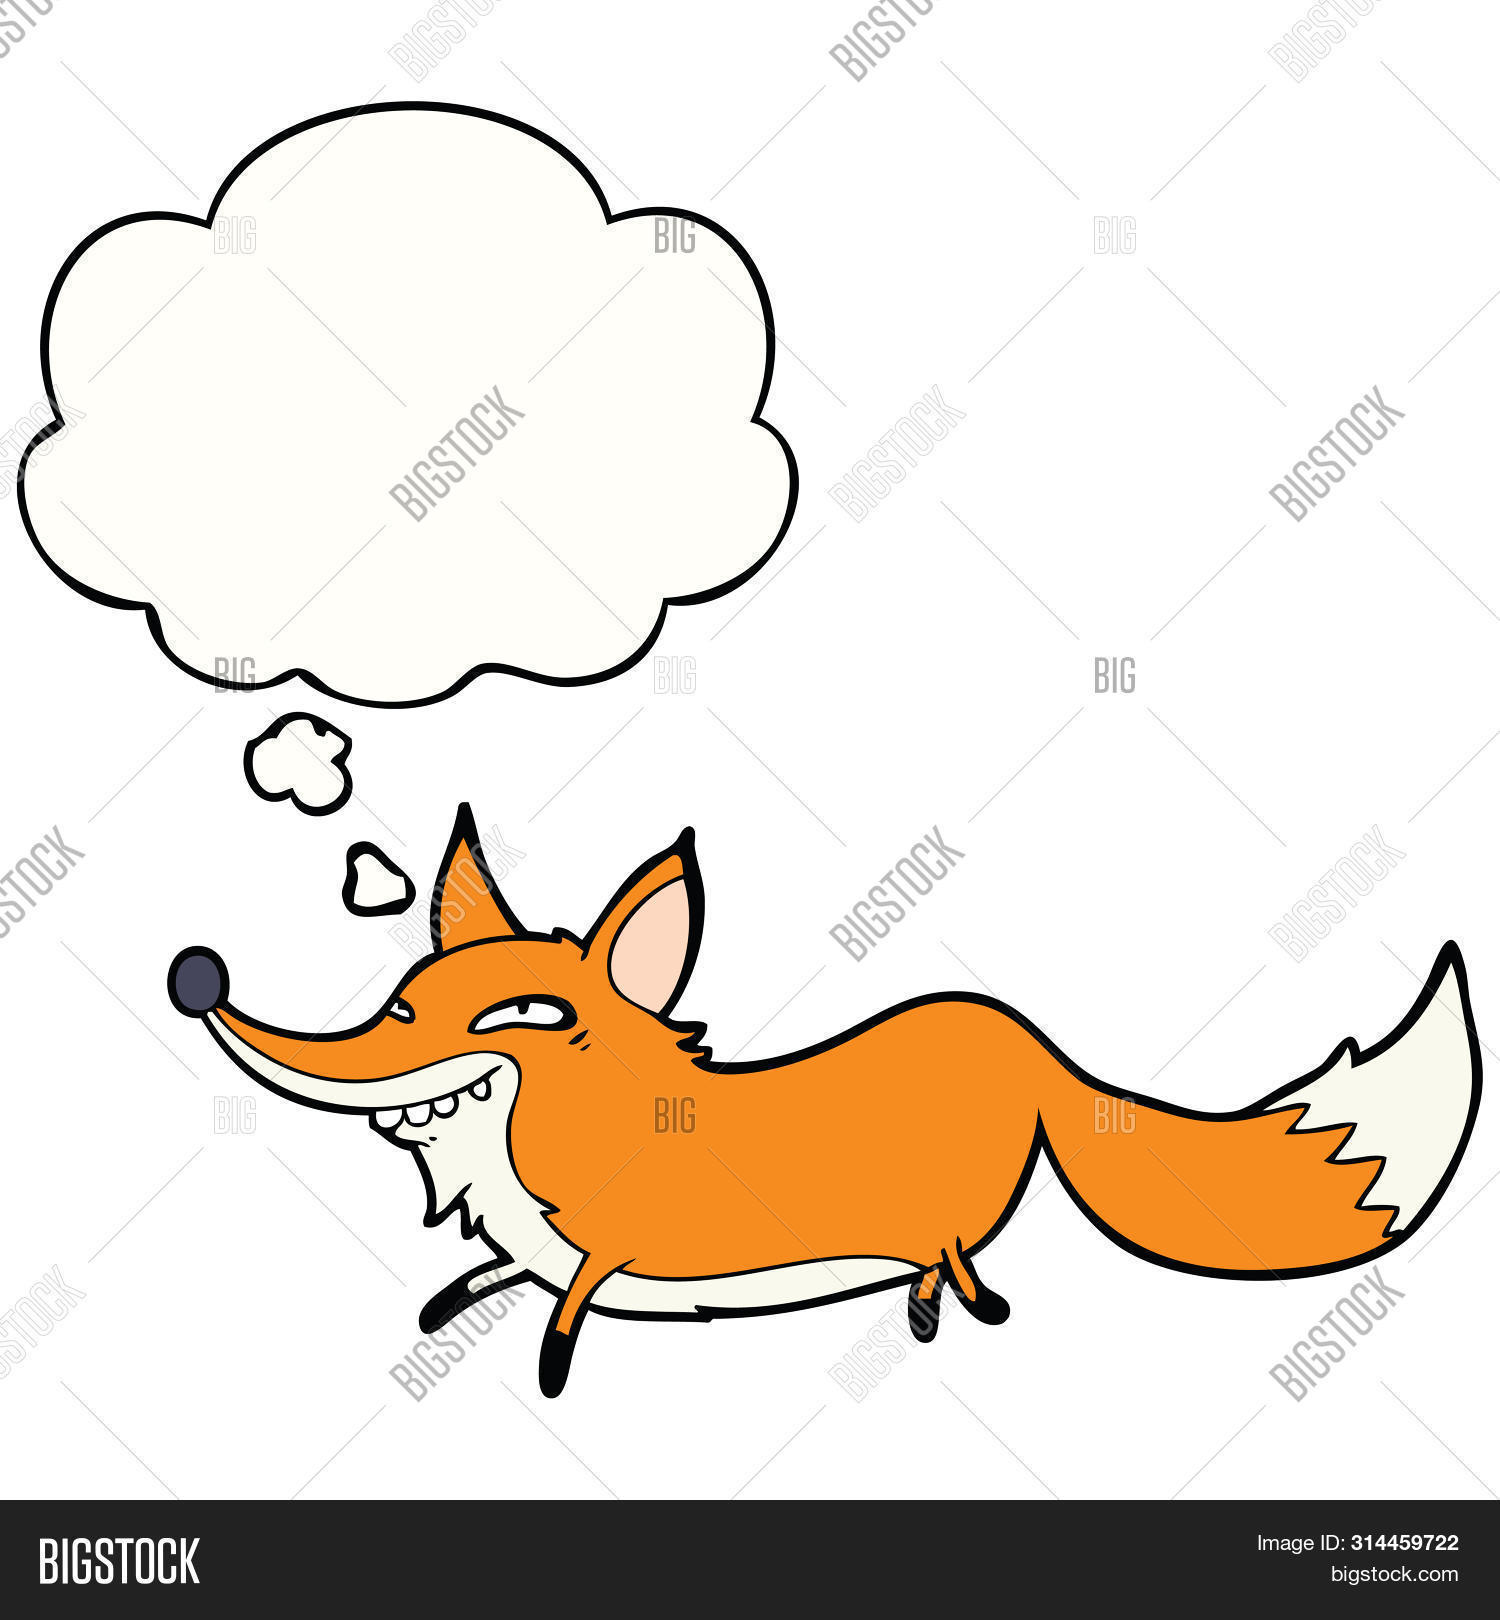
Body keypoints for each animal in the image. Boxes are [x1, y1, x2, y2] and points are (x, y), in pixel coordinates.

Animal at [168, 805, 1481, 1397]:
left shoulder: (622, 1244)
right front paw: (457, 1300)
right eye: (403, 1009)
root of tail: (1030, 1041)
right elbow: (494, 1279)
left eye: (521, 1023)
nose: (200, 982)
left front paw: (551, 1364)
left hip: (952, 1207)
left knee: (955, 1258)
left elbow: (576, 1299)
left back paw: (941, 1307)